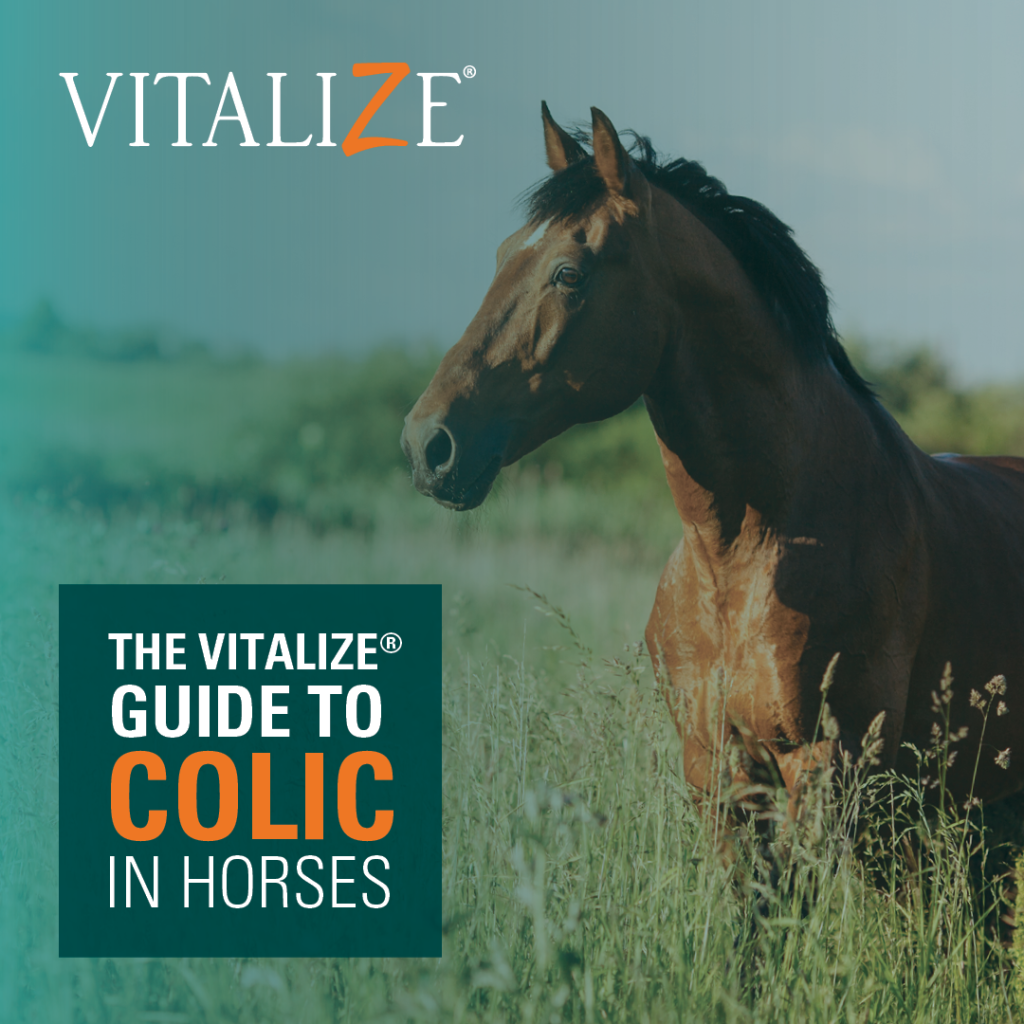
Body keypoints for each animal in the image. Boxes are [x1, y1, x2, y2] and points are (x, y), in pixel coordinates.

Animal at [401, 103, 1024, 809]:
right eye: (505, 254)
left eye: (568, 273)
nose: (427, 443)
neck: (745, 559)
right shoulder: (716, 773)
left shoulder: (826, 771)